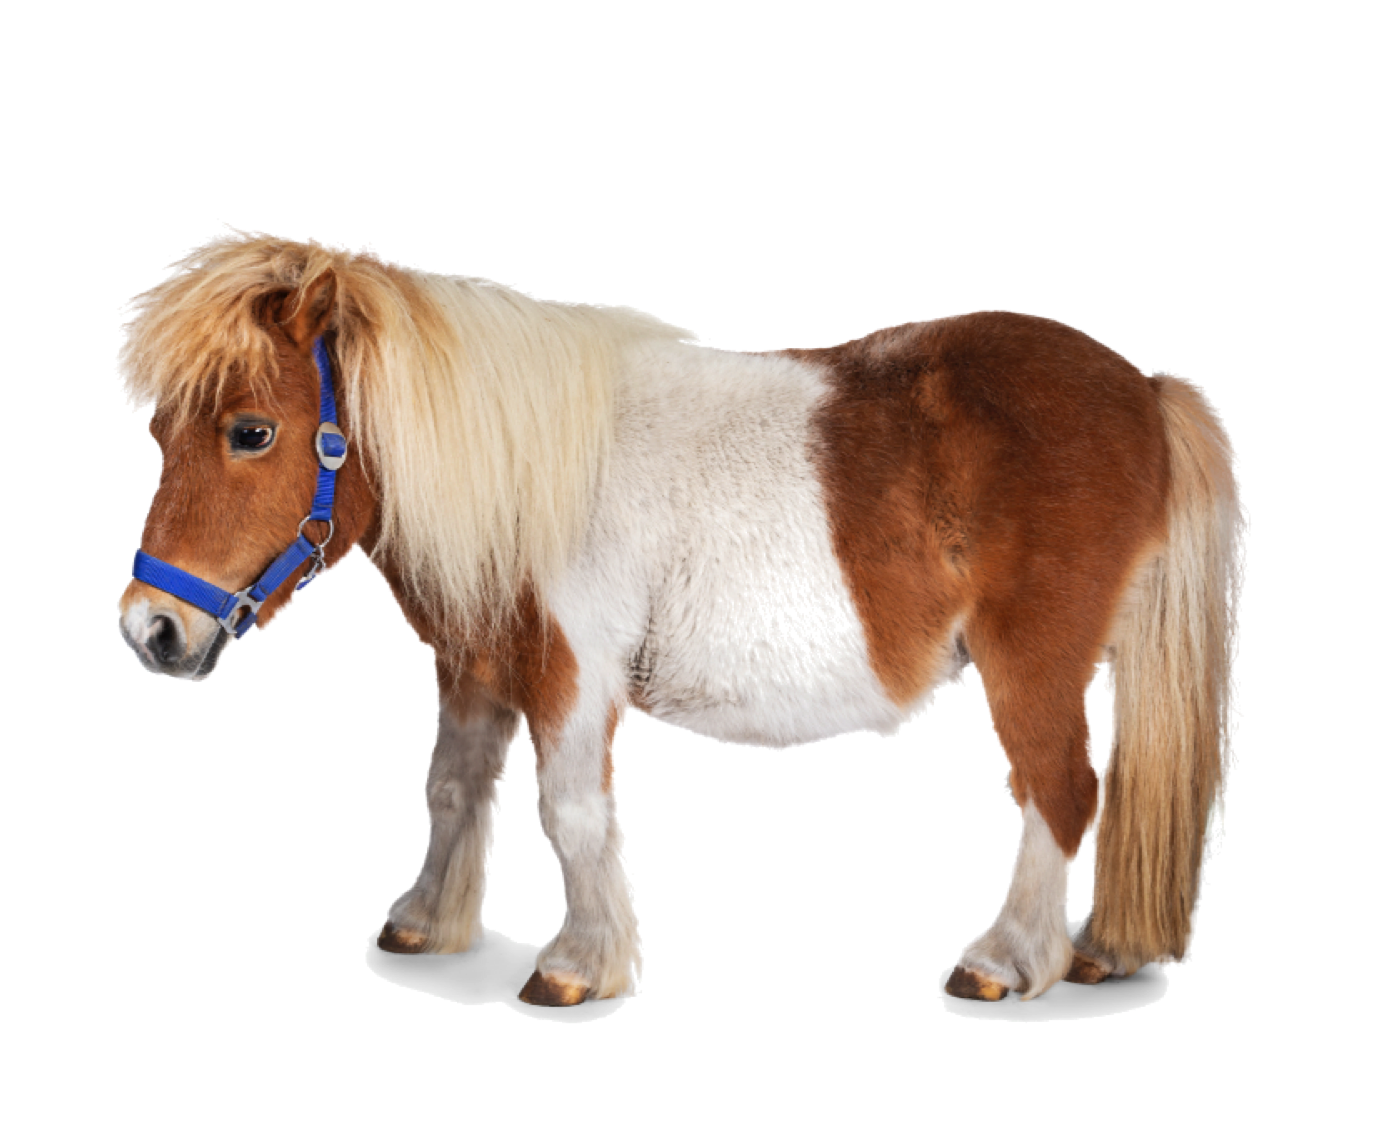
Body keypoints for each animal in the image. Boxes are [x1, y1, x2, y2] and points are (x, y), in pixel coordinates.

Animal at [117, 234, 1241, 1007]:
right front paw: (427, 922)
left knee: (1060, 790)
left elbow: (571, 813)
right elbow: (456, 788)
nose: (150, 629)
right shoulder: (478, 659)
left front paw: (579, 964)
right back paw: (1097, 950)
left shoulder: (570, 670)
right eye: (163, 429)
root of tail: (1142, 388)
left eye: (250, 431)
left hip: (1033, 660)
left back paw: (1008, 960)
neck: (527, 466)